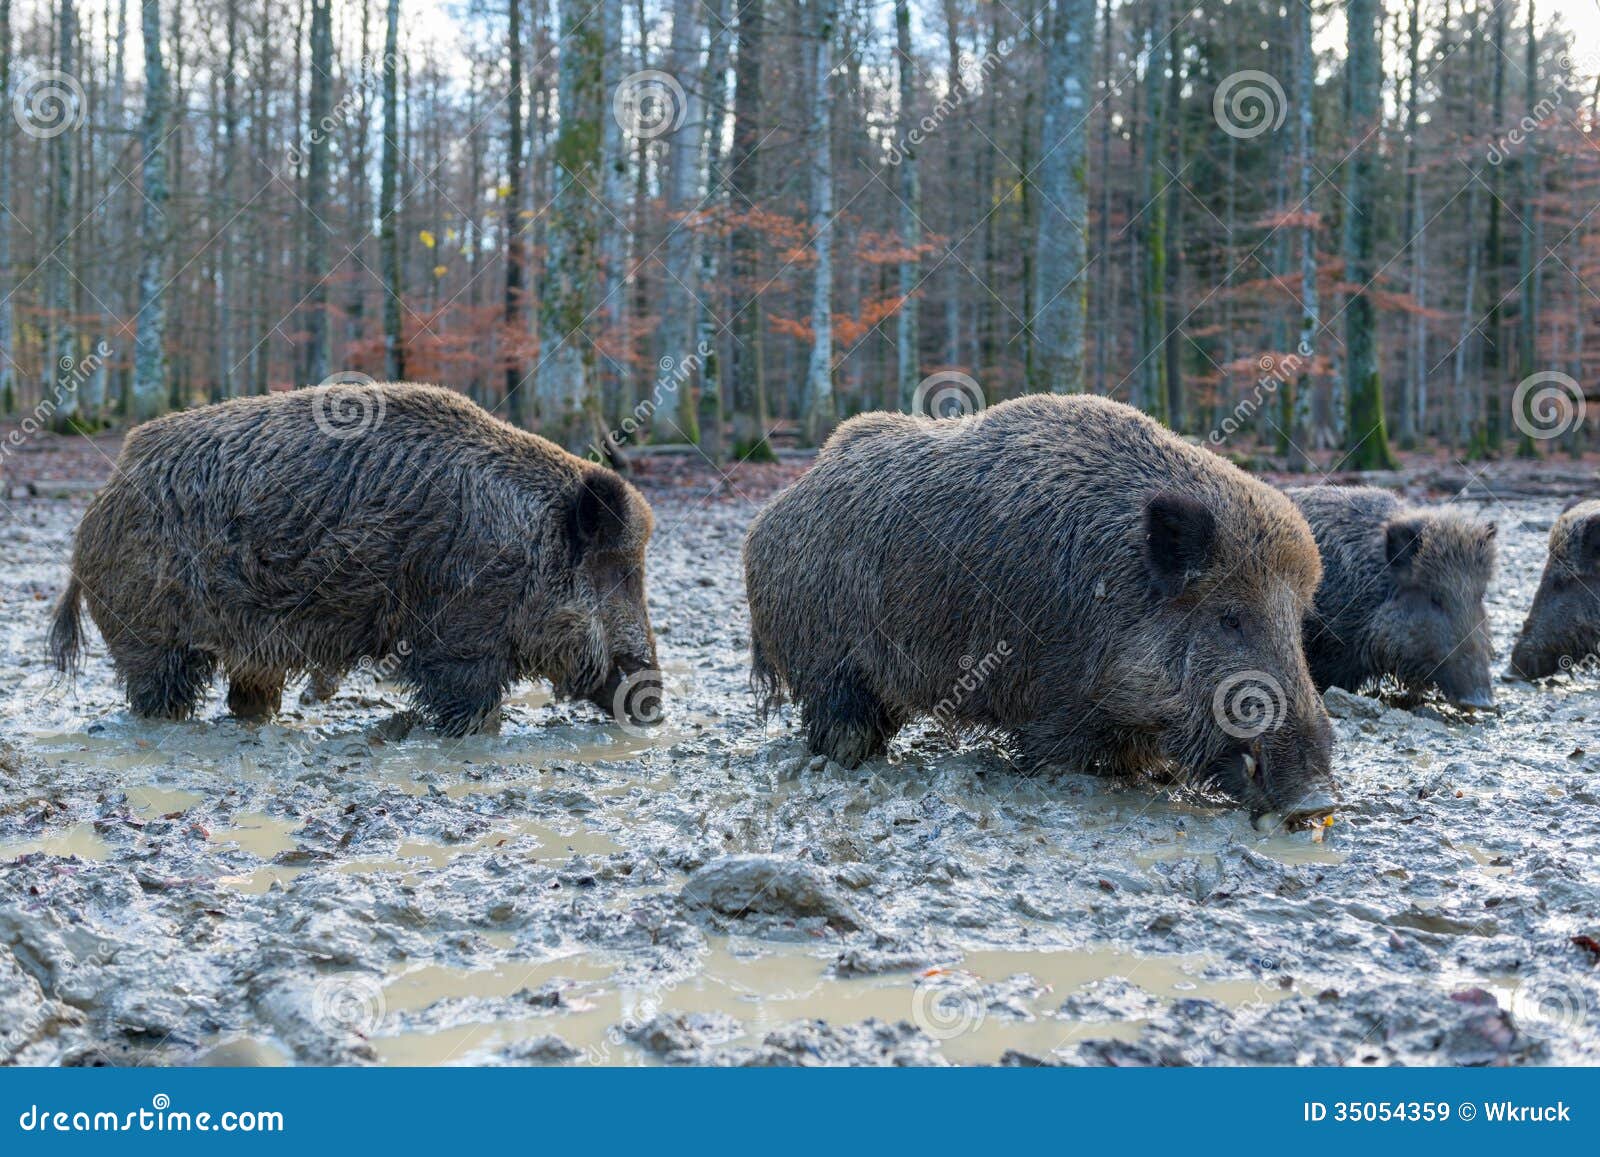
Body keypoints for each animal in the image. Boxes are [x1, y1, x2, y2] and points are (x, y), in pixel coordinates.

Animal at [49, 381, 661, 735]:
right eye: (618, 573)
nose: (654, 703)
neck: (525, 543)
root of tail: (95, 512)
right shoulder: (462, 634)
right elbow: (471, 703)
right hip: (149, 634)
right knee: (157, 693)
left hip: (246, 649)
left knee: (248, 696)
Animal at [743, 393, 1338, 823]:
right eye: (1230, 617)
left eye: (1297, 621)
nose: (1318, 801)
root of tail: (771, 516)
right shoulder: (1054, 705)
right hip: (829, 668)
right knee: (839, 727)